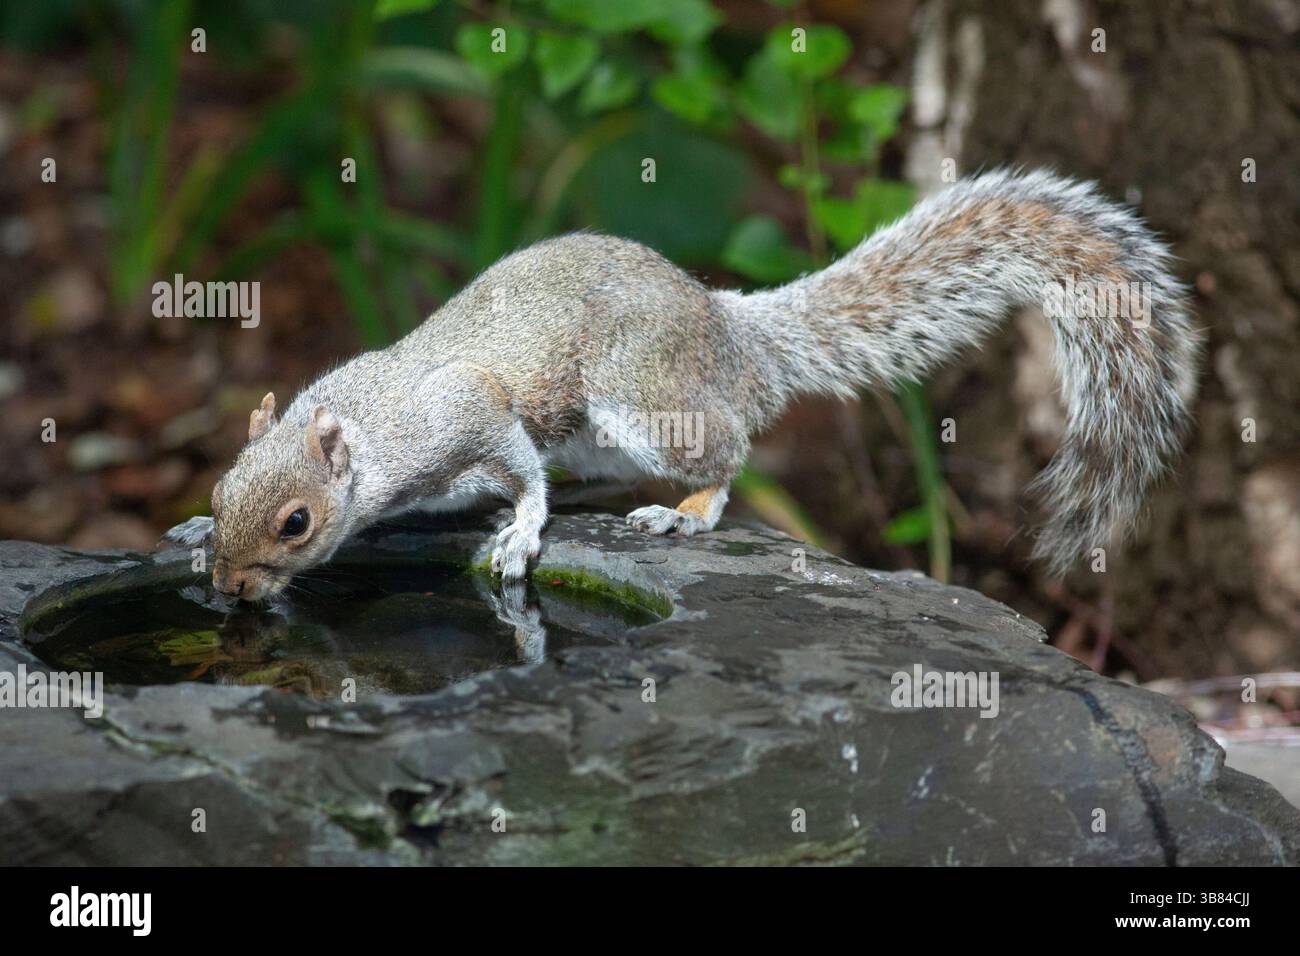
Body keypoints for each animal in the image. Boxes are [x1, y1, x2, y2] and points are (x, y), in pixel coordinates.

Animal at [163, 170, 1199, 600]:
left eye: (296, 523)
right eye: (219, 488)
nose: (231, 591)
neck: (370, 426)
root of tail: (732, 334)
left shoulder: (468, 417)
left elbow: (519, 470)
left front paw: (520, 532)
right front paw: (187, 537)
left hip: (644, 399)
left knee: (725, 451)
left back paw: (687, 512)